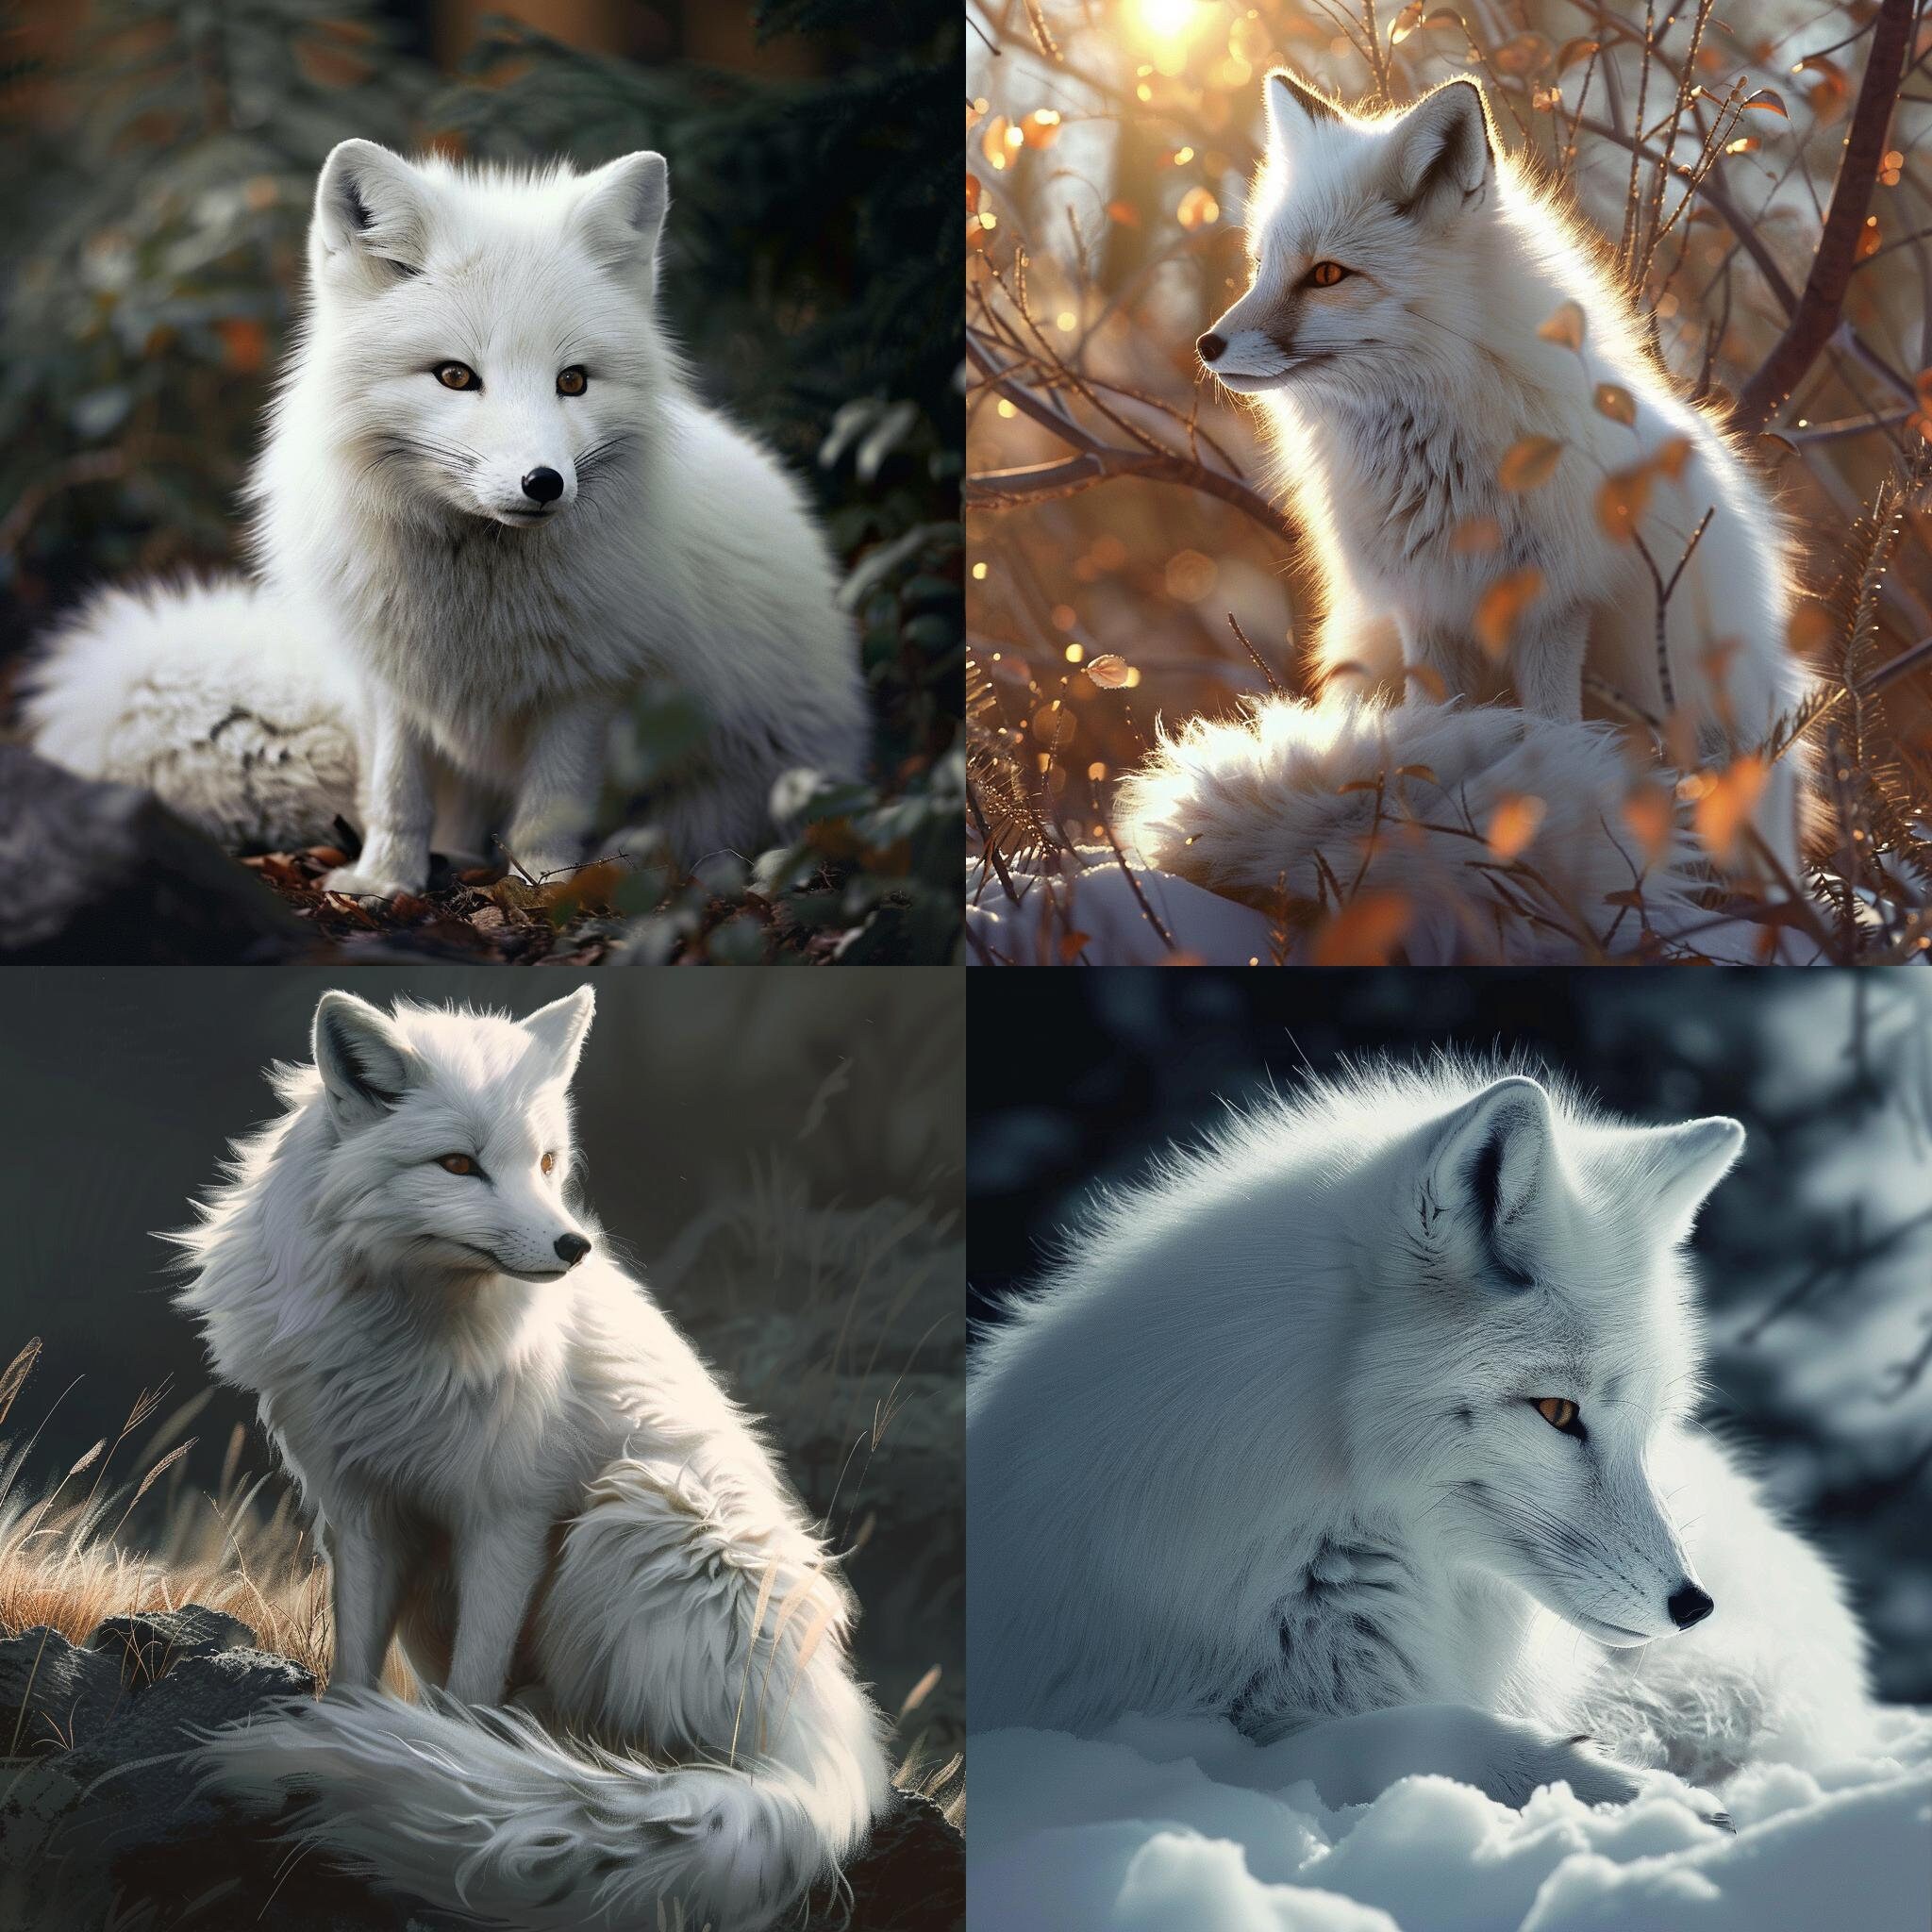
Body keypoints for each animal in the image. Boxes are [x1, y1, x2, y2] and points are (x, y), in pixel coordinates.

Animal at [25, 140, 868, 894]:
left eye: (573, 380)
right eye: (456, 376)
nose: (543, 483)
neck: (471, 598)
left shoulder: (587, 684)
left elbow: (550, 810)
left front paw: (544, 894)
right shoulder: (391, 679)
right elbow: (395, 796)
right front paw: (385, 884)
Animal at [171, 986, 889, 1929]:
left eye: (547, 1162)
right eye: (458, 1164)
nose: (572, 1248)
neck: (402, 1339)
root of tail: (832, 1749)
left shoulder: (506, 1518)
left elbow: (470, 1690)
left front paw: (437, 1756)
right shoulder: (362, 1510)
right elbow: (356, 1665)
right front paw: (351, 1733)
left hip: (642, 1511)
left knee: (662, 1752)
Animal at [968, 1064, 1875, 1817]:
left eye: (1647, 1423)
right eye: (1558, 1412)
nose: (1692, 1605)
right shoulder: (1116, 1736)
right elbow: (1408, 1736)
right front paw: (1620, 1790)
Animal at [1182, 71, 1812, 890]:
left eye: (1326, 275)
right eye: (1260, 267)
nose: (1208, 345)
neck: (1448, 474)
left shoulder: (1556, 599)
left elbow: (1550, 727)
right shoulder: (1425, 604)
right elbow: (1431, 730)